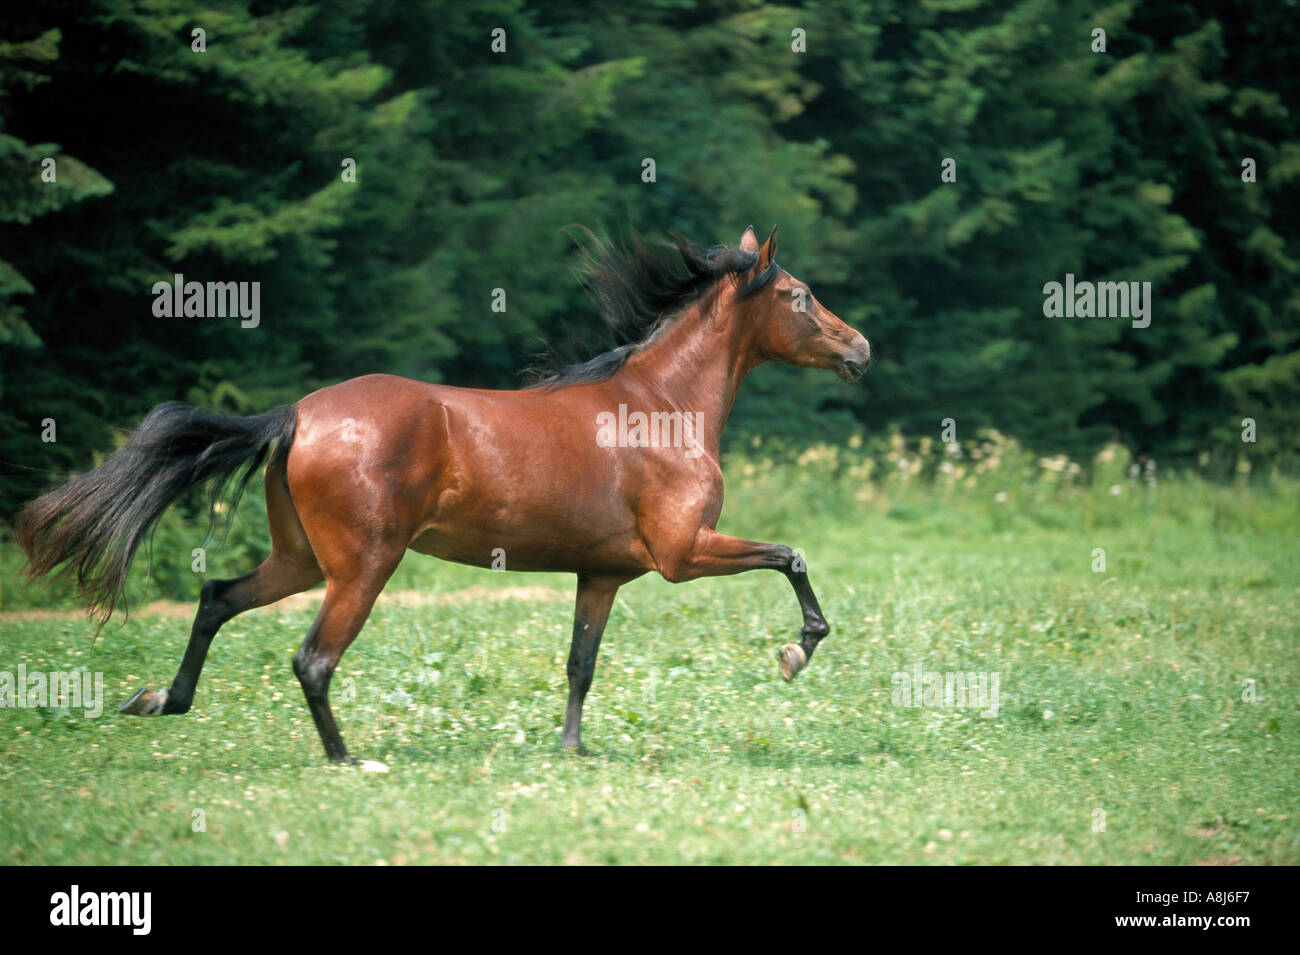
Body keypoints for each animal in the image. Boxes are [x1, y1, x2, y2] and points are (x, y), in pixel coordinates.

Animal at [16, 225, 871, 764]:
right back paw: (347, 759)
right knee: (312, 658)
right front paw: (797, 651)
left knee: (217, 596)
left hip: (300, 560)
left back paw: (161, 699)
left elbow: (580, 664)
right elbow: (792, 556)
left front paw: (573, 750)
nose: (861, 347)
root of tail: (298, 414)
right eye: (799, 295)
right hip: (363, 566)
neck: (659, 405)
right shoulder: (681, 553)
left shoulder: (602, 574)